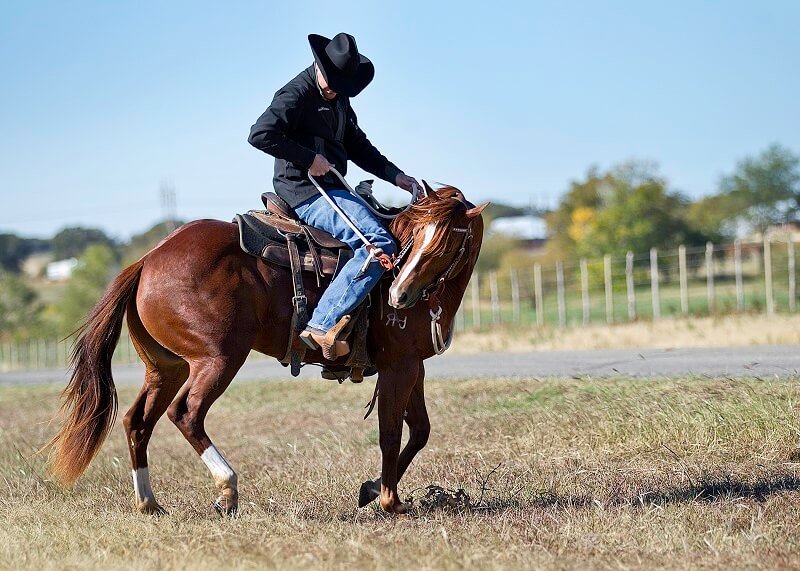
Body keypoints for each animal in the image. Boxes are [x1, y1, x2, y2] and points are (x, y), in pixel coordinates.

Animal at [48, 184, 487, 515]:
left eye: (445, 245)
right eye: (415, 238)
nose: (398, 295)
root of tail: (147, 260)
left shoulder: (414, 367)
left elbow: (420, 430)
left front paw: (372, 488)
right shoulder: (399, 366)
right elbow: (392, 432)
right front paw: (390, 502)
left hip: (166, 368)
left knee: (138, 420)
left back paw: (150, 503)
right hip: (218, 359)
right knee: (186, 413)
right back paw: (227, 489)